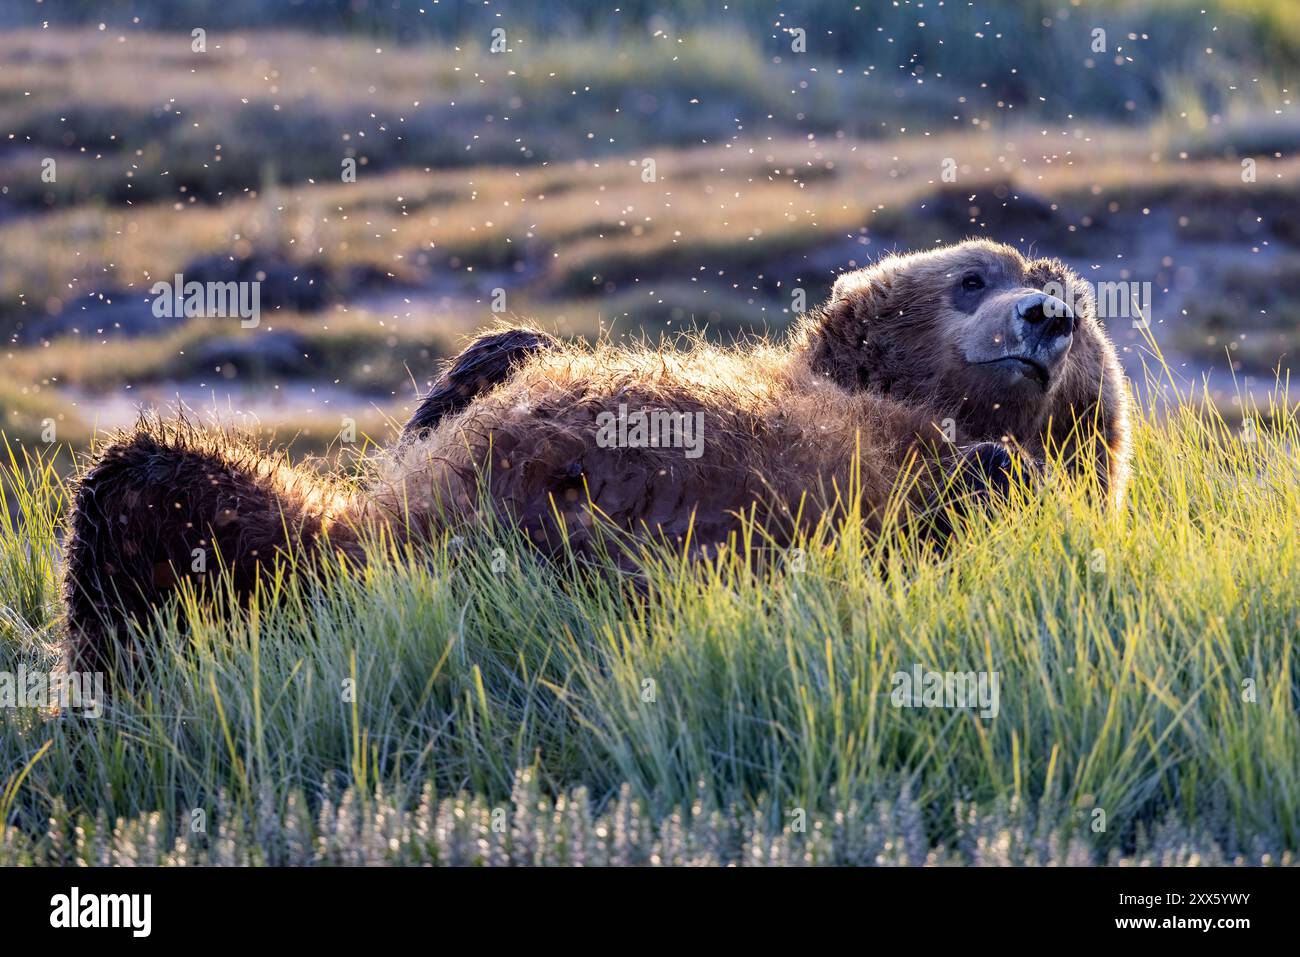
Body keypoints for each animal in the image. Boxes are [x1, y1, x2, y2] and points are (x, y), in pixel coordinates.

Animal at [61, 239, 1130, 677]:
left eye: (1080, 314)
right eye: (972, 276)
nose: (1049, 313)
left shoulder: (887, 490)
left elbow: (959, 497)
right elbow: (497, 362)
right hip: (302, 534)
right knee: (150, 485)